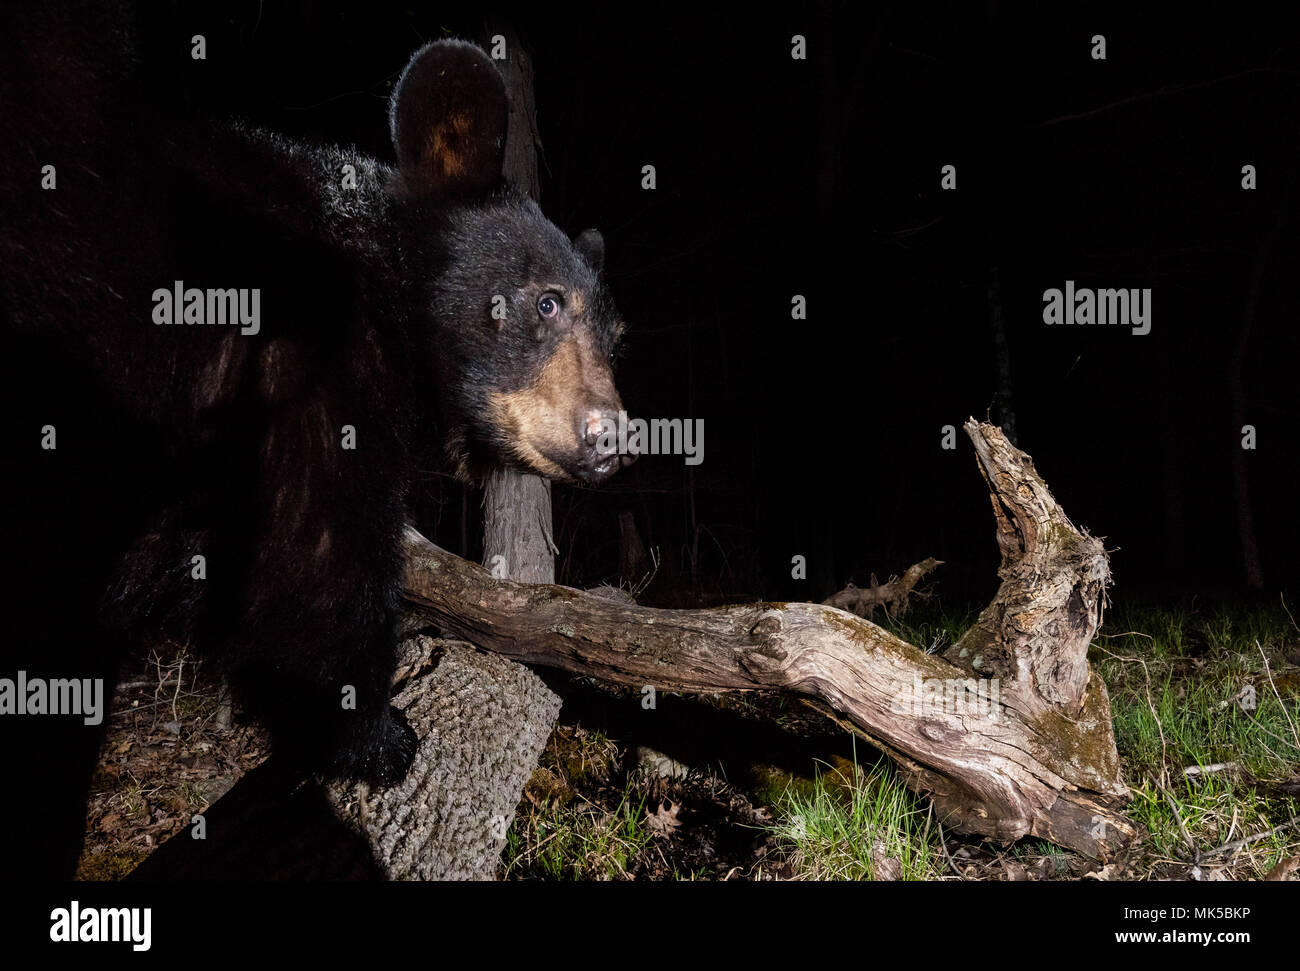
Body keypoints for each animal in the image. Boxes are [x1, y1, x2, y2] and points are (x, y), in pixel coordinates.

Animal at [0, 19, 627, 878]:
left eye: (617, 335)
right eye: (547, 302)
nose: (614, 436)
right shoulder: (302, 383)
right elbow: (316, 565)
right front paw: (379, 736)